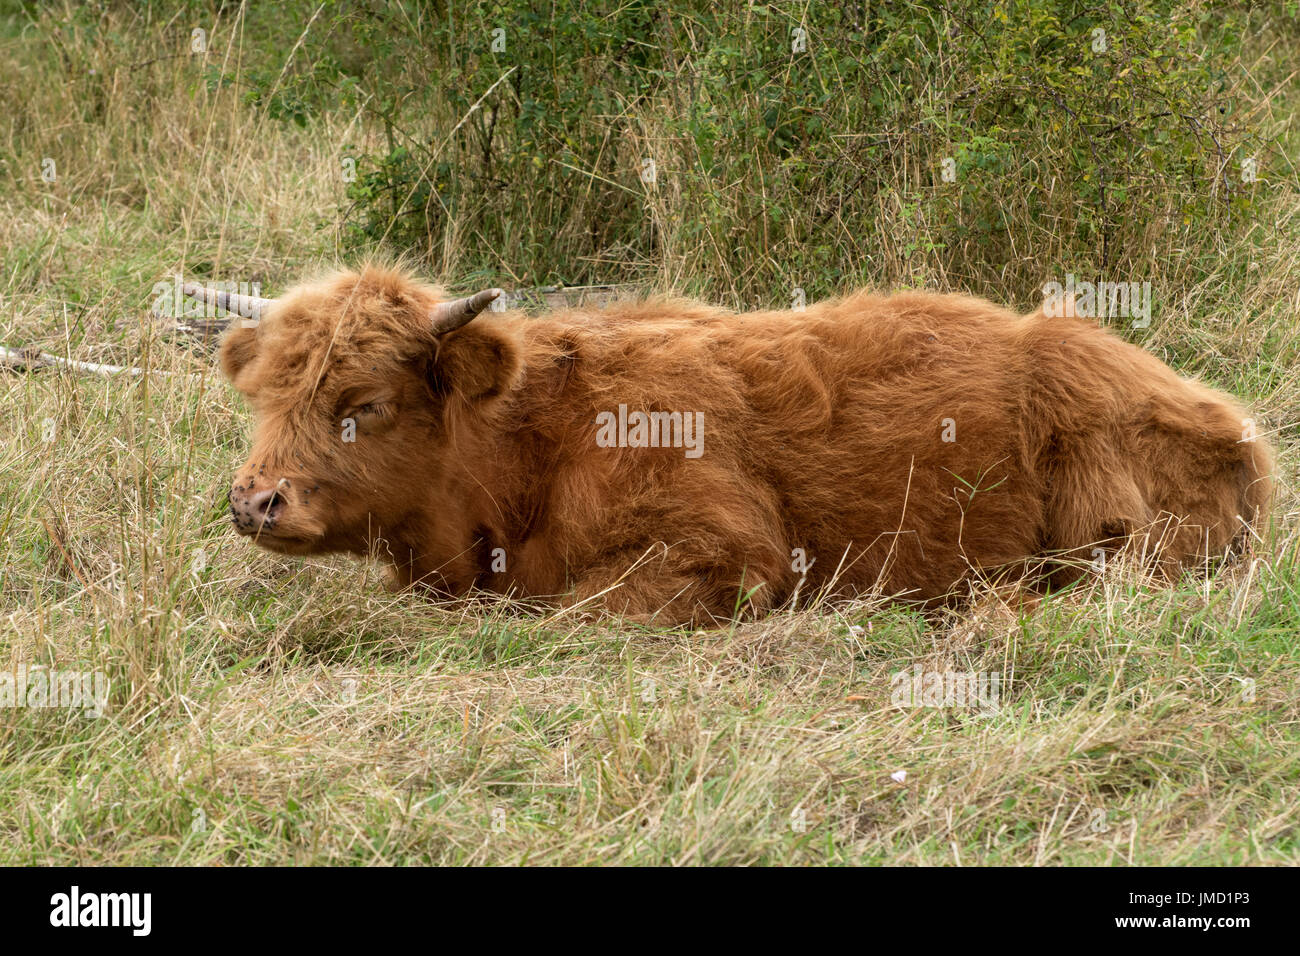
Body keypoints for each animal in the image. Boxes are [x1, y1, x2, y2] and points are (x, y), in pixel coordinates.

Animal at [192, 264, 1274, 626]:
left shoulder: (728, 552)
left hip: (1118, 518)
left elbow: (571, 609)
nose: (255, 500)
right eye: (264, 394)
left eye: (363, 401)